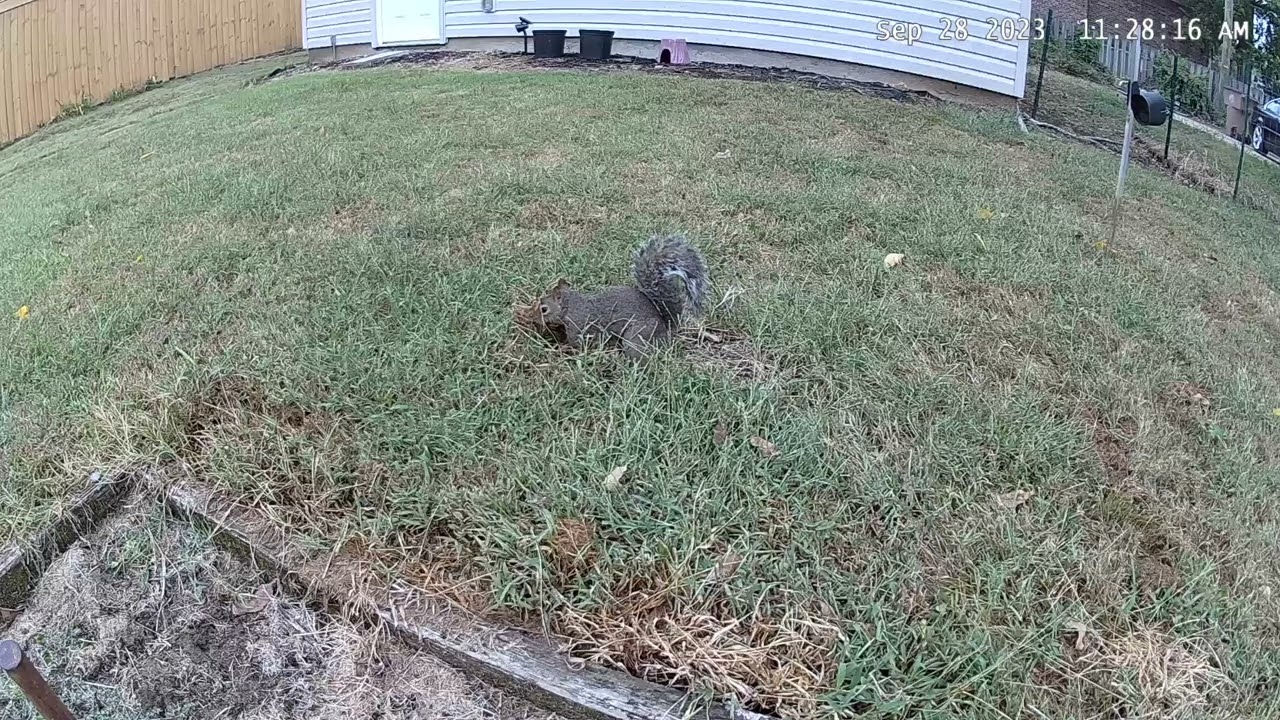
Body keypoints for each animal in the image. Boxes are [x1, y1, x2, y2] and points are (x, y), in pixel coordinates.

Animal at [531, 234, 710, 358]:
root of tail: (665, 329)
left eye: (544, 309)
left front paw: (561, 349)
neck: (572, 306)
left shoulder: (580, 328)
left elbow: (578, 345)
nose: (534, 319)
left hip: (636, 336)